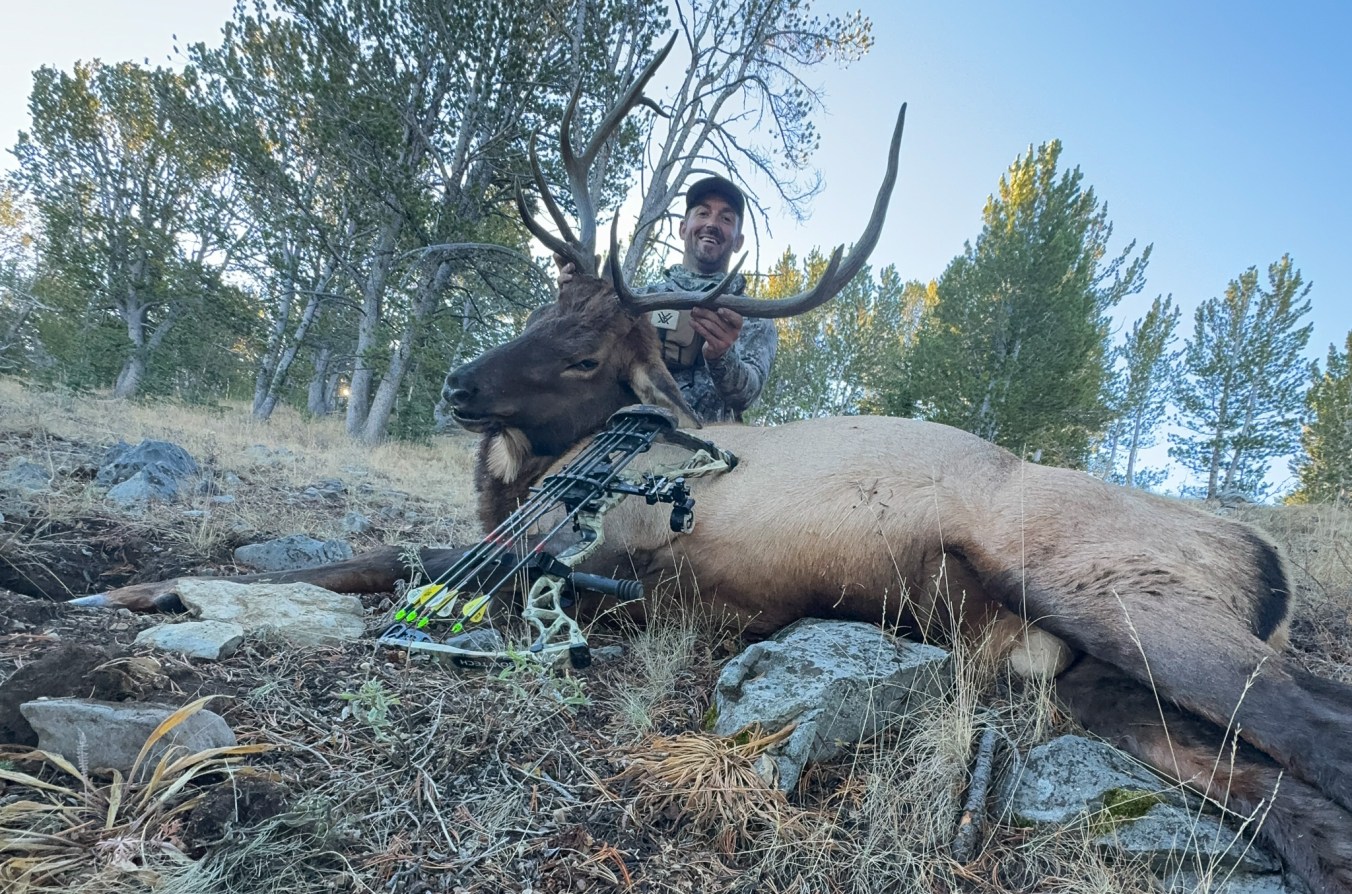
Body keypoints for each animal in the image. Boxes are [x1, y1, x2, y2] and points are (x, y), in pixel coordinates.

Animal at [77, 38, 1352, 893]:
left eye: (584, 351)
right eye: (540, 306)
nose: (457, 384)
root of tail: (1263, 558)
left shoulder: (582, 557)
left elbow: (374, 558)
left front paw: (121, 590)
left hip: (1111, 588)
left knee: (1313, 724)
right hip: (1081, 679)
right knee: (1275, 783)